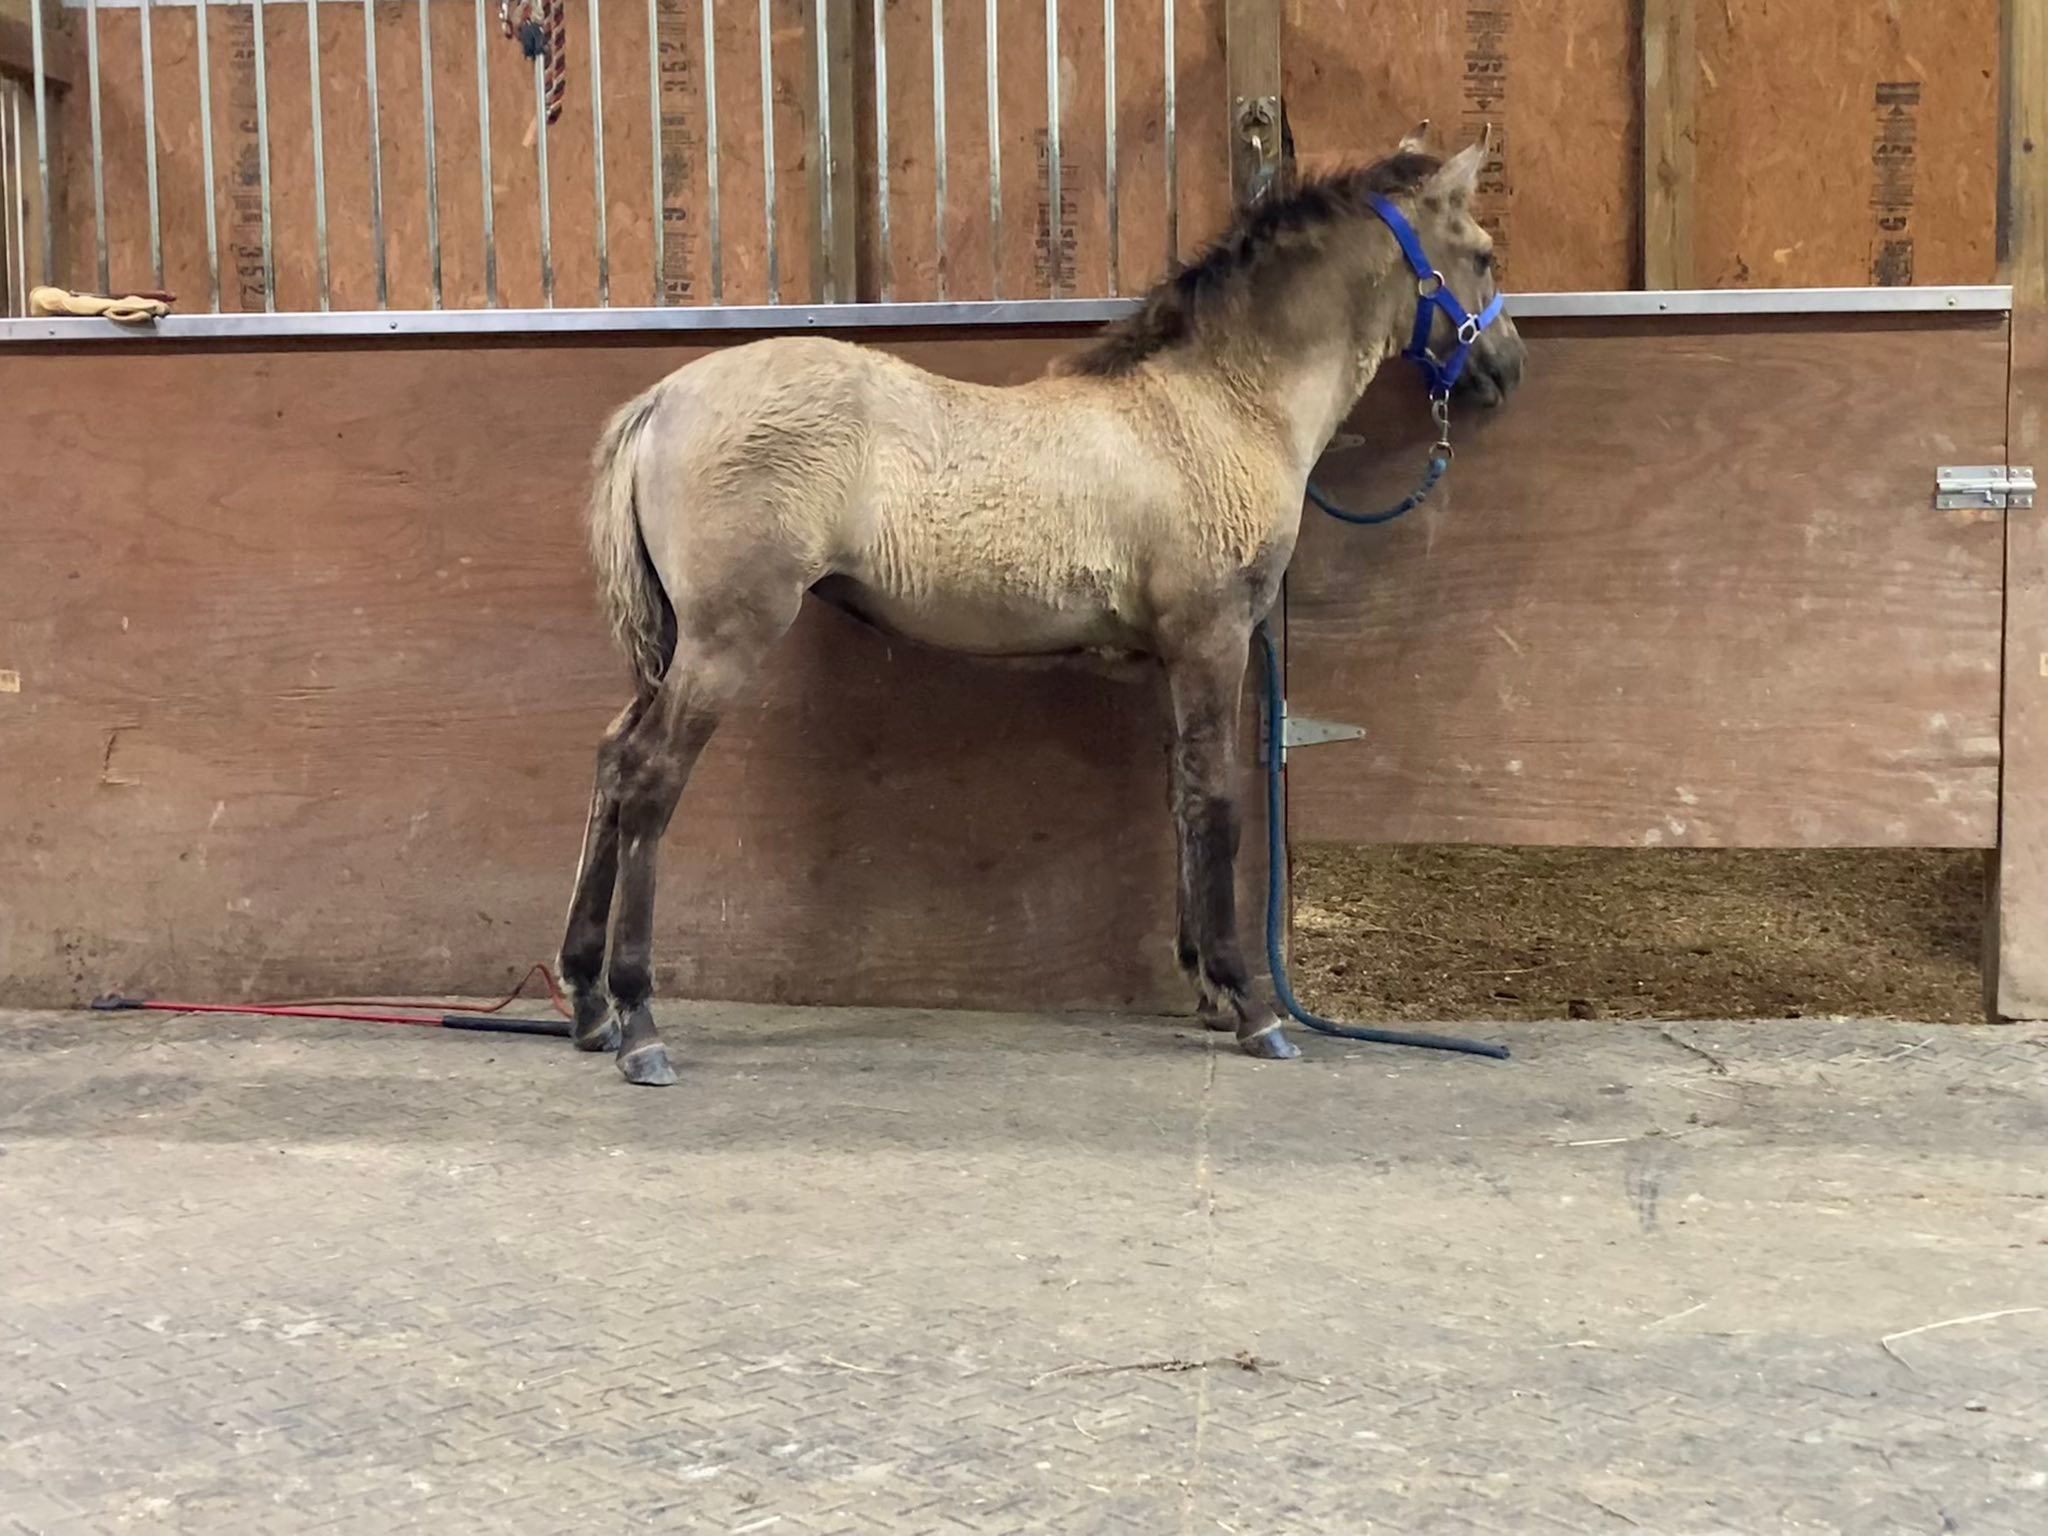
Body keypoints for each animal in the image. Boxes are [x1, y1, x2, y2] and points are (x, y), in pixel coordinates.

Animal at [558, 125, 1527, 1085]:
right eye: (1482, 253)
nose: (1509, 366)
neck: (1215, 408)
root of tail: (662, 400)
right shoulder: (1213, 640)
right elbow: (1217, 804)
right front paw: (1253, 1008)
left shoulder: (1172, 658)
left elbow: (1181, 797)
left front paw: (1208, 993)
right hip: (726, 639)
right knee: (650, 778)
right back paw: (639, 1022)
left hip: (673, 644)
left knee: (610, 763)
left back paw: (588, 1005)